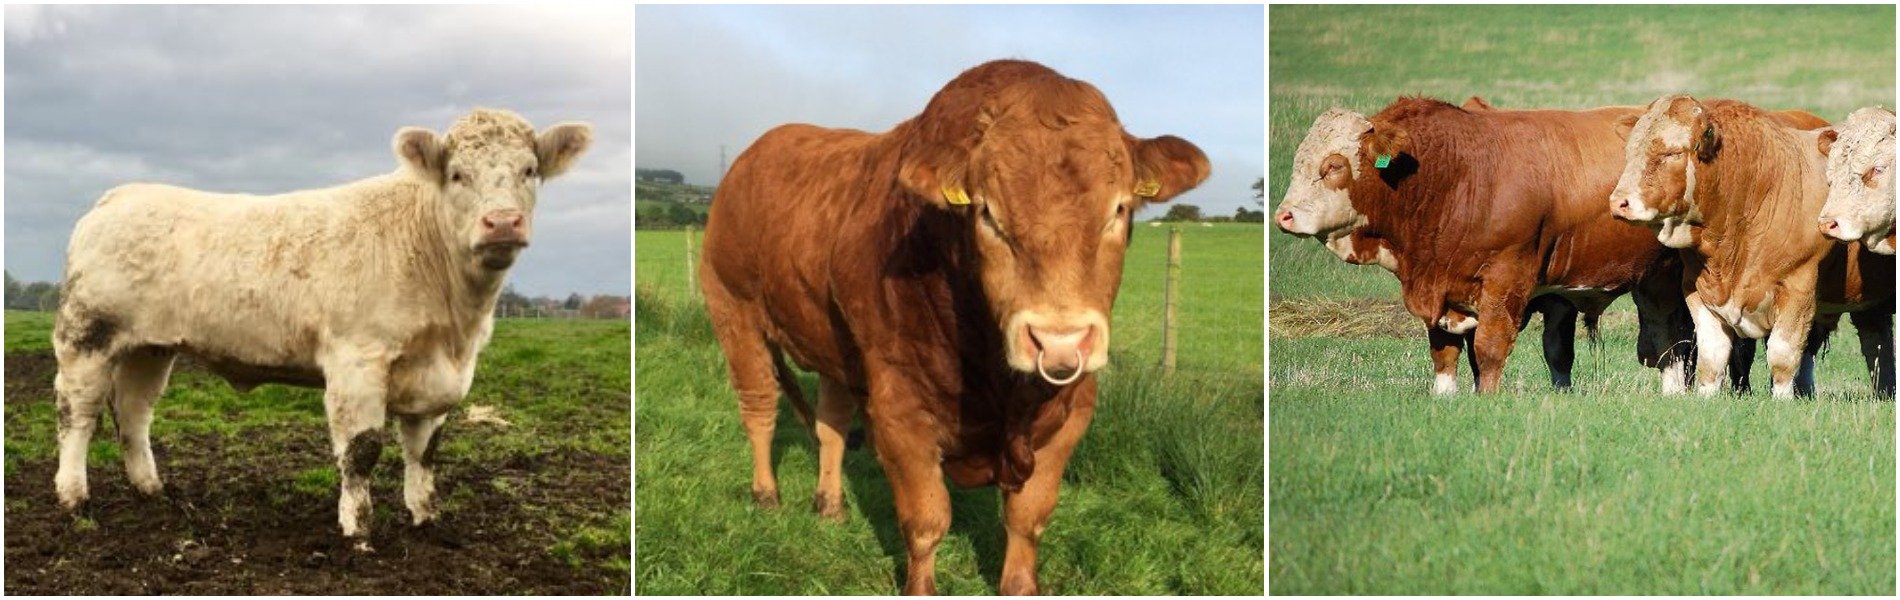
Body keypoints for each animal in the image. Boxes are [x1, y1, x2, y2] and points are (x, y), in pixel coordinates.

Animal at [52, 108, 592, 549]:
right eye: (458, 174)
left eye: (530, 171)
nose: (502, 223)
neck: (456, 325)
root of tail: (120, 195)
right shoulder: (357, 362)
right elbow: (362, 451)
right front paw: (358, 530)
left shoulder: (435, 376)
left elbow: (424, 453)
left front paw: (425, 519)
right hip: (87, 336)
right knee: (77, 412)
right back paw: (74, 498)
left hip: (151, 346)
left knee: (134, 411)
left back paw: (151, 490)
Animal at [699, 60, 1209, 595]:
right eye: (987, 213)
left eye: (1119, 209)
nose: (1058, 341)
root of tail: (751, 156)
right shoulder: (899, 410)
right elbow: (926, 521)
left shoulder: (1074, 409)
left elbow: (1028, 518)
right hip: (733, 313)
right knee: (759, 407)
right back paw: (765, 494)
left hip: (833, 344)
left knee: (831, 423)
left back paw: (830, 505)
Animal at [1275, 97, 1708, 394]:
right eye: (1298, 160)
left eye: (1333, 165)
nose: (1284, 216)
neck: (1455, 175)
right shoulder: (1441, 291)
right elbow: (1445, 353)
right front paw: (1445, 398)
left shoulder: (1505, 281)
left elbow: (1488, 349)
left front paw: (1488, 399)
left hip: (1663, 280)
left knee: (1671, 338)